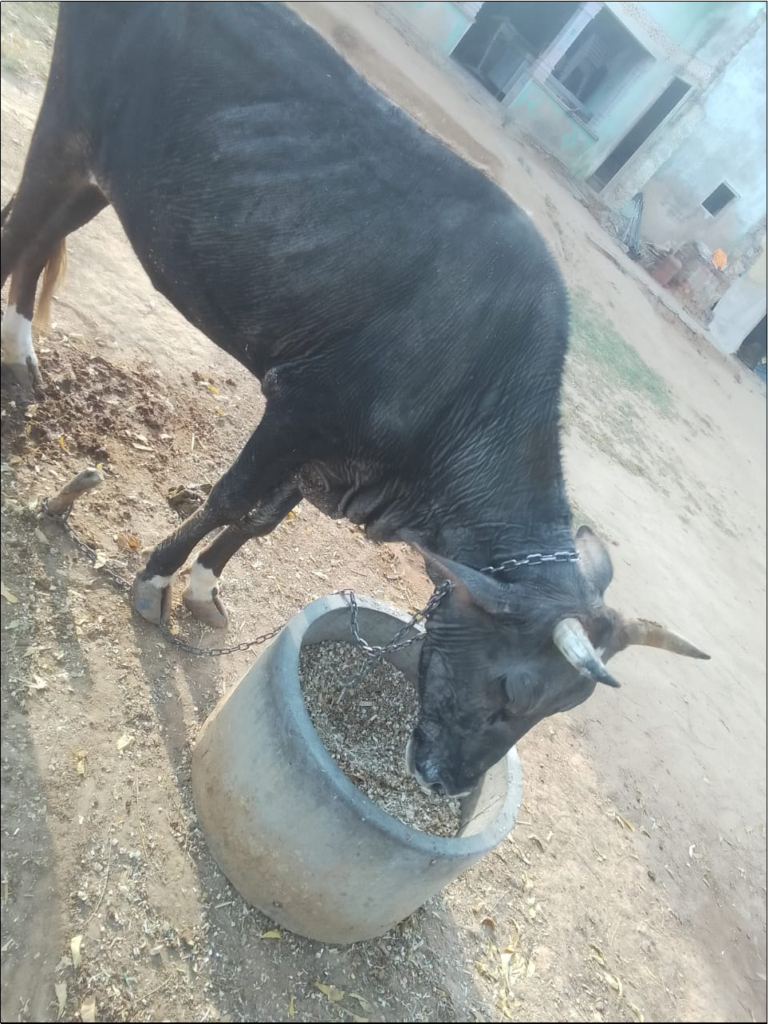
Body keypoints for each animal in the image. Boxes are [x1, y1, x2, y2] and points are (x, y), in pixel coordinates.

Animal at [0, 2, 709, 797]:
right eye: (511, 690)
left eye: (558, 709)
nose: (445, 783)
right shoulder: (301, 407)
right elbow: (230, 498)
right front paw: (155, 582)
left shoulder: (327, 447)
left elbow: (263, 518)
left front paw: (205, 590)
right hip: (65, 132)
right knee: (16, 233)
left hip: (99, 177)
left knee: (37, 245)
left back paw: (23, 360)